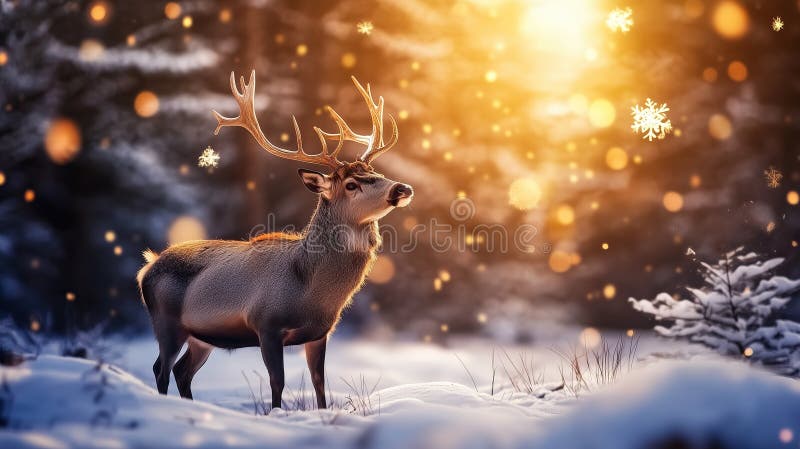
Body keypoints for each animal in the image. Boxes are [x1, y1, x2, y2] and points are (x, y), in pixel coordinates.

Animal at [136, 71, 412, 409]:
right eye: (351, 184)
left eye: (375, 172)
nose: (402, 188)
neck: (310, 291)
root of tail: (146, 268)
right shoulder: (265, 323)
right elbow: (277, 383)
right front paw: (277, 414)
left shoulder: (320, 333)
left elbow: (320, 384)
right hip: (166, 320)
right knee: (161, 368)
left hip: (200, 337)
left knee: (181, 371)